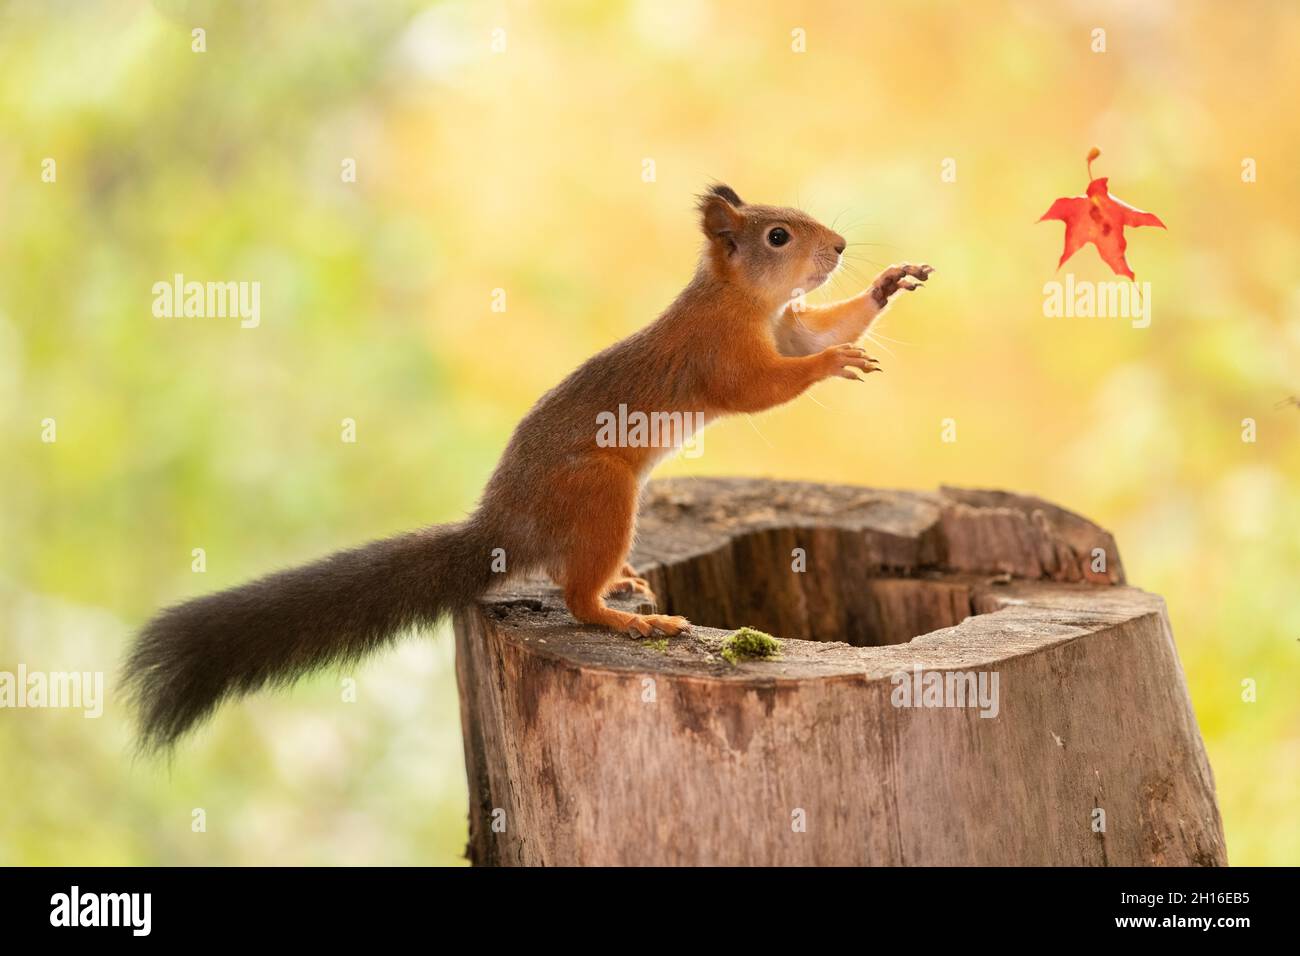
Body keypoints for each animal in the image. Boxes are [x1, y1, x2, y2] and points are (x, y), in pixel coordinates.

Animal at [123, 183, 932, 751]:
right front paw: (835, 361)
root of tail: (504, 526)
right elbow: (767, 385)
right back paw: (628, 617)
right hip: (602, 492)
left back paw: (626, 581)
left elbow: (816, 331)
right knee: (574, 599)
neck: (740, 299)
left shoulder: (783, 328)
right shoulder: (723, 358)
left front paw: (885, 285)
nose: (841, 246)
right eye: (777, 235)